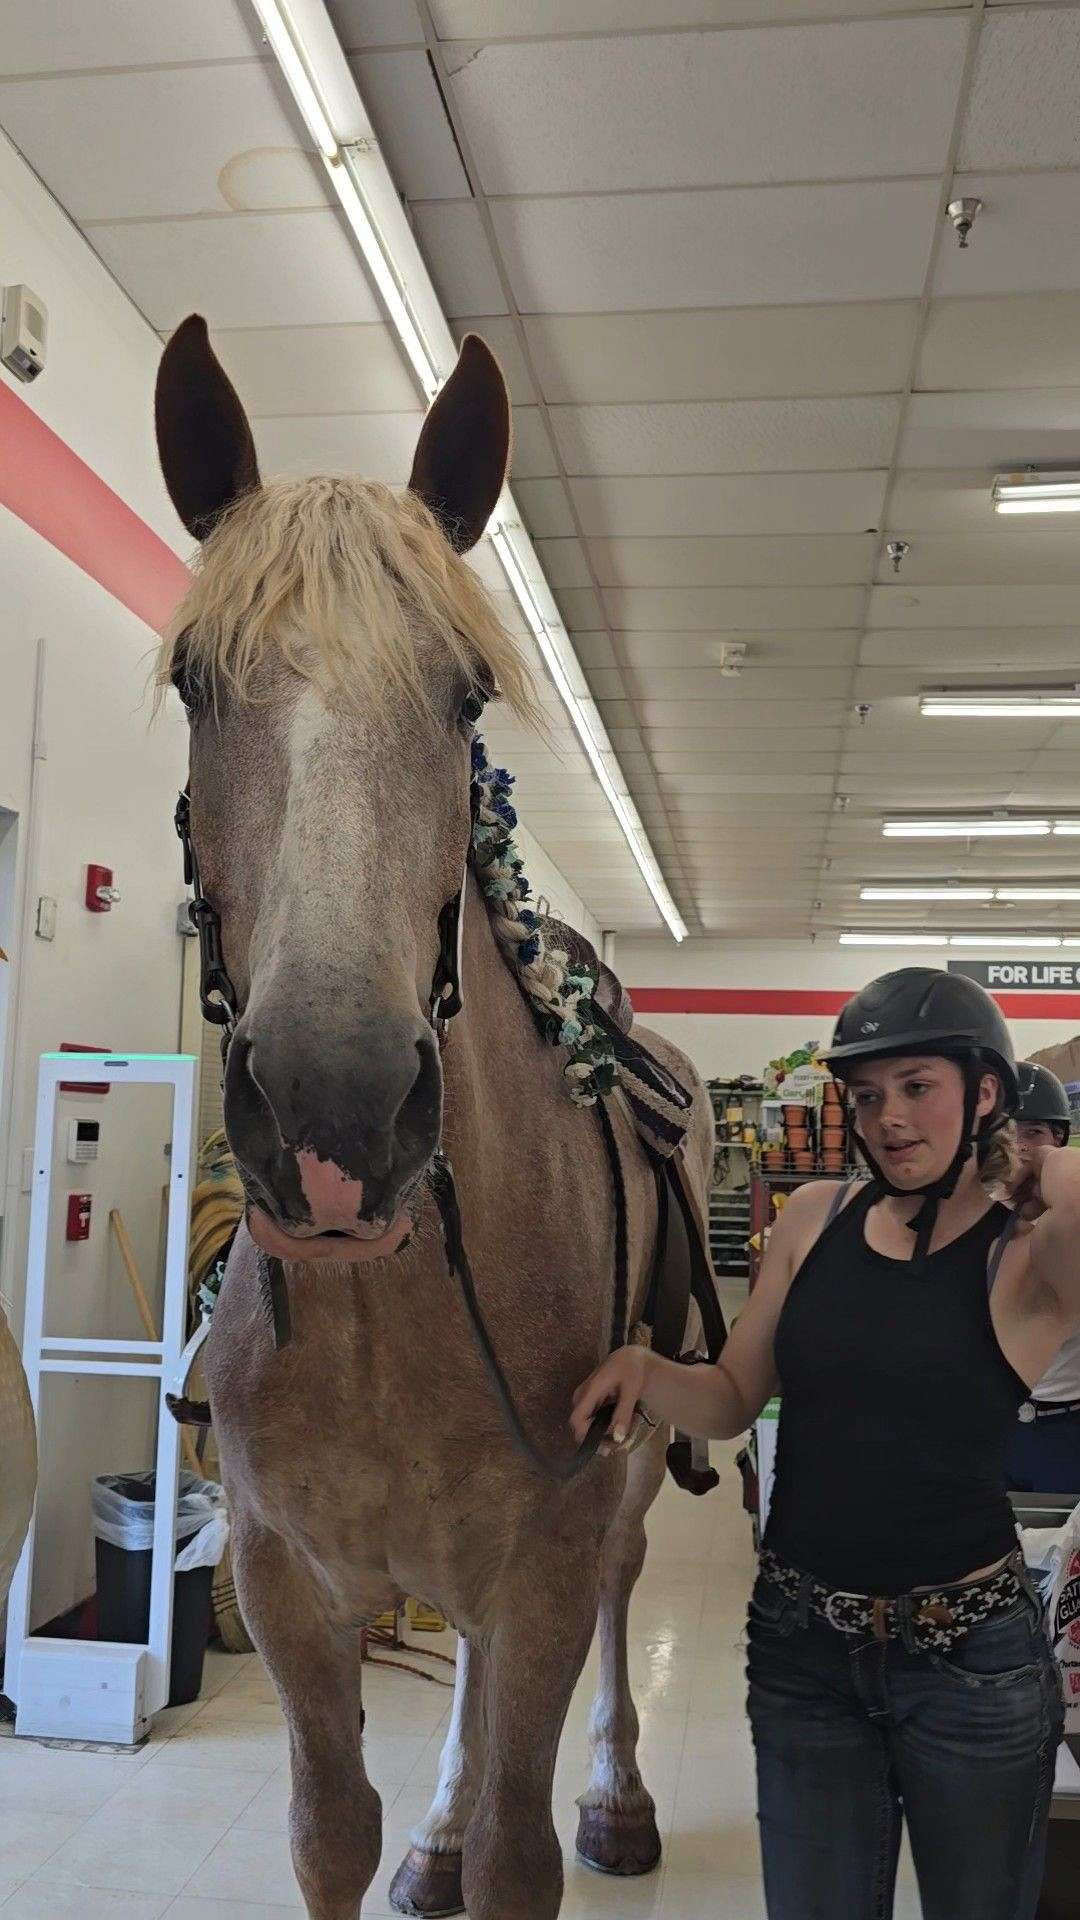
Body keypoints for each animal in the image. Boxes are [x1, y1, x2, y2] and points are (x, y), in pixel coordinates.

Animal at [154, 316, 717, 1920]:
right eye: (194, 682)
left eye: (466, 694)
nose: (334, 1108)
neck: (386, 1324)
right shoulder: (284, 1576)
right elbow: (328, 1828)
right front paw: (426, 1831)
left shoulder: (549, 1556)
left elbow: (528, 1853)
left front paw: (536, 1825)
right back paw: (444, 1828)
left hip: (626, 1487)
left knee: (617, 1604)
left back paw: (618, 1795)